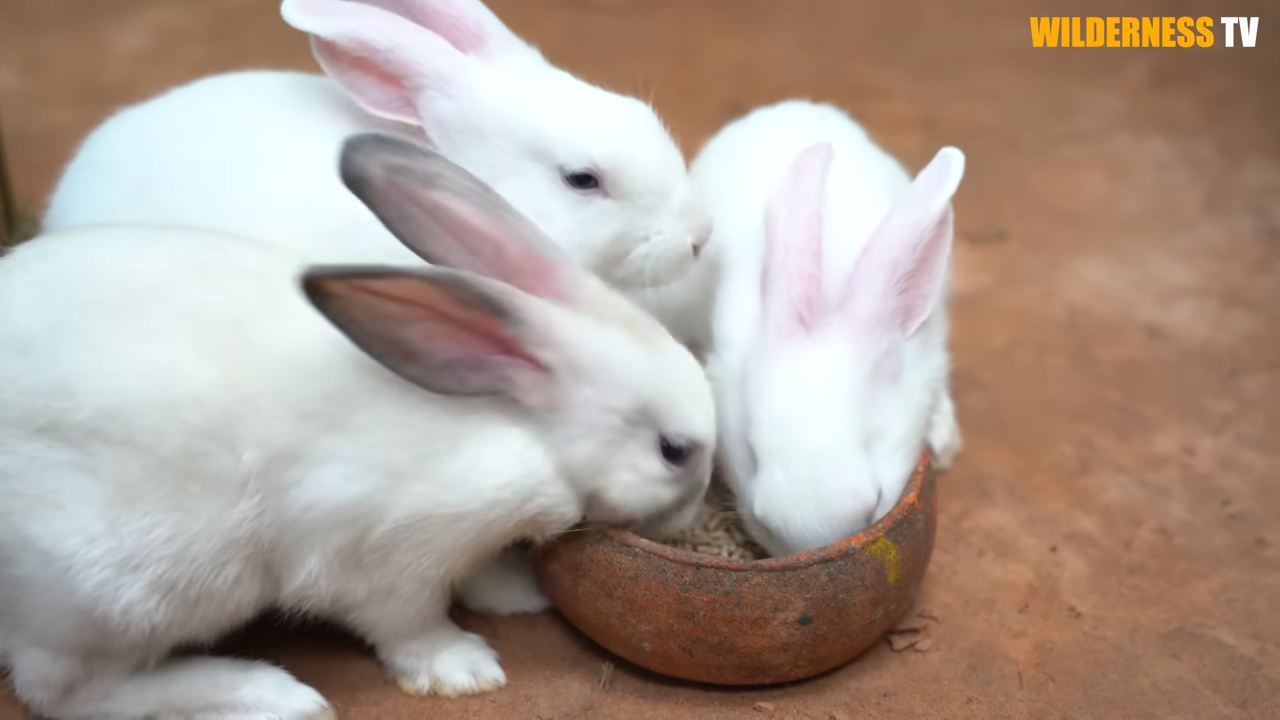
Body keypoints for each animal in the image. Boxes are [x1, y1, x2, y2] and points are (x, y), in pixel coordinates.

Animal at [0, 133, 716, 719]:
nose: (686, 522)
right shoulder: (382, 558)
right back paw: (271, 696)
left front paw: (514, 593)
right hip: (135, 586)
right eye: (673, 451)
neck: (515, 422)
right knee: (63, 691)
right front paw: (463, 668)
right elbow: (407, 623)